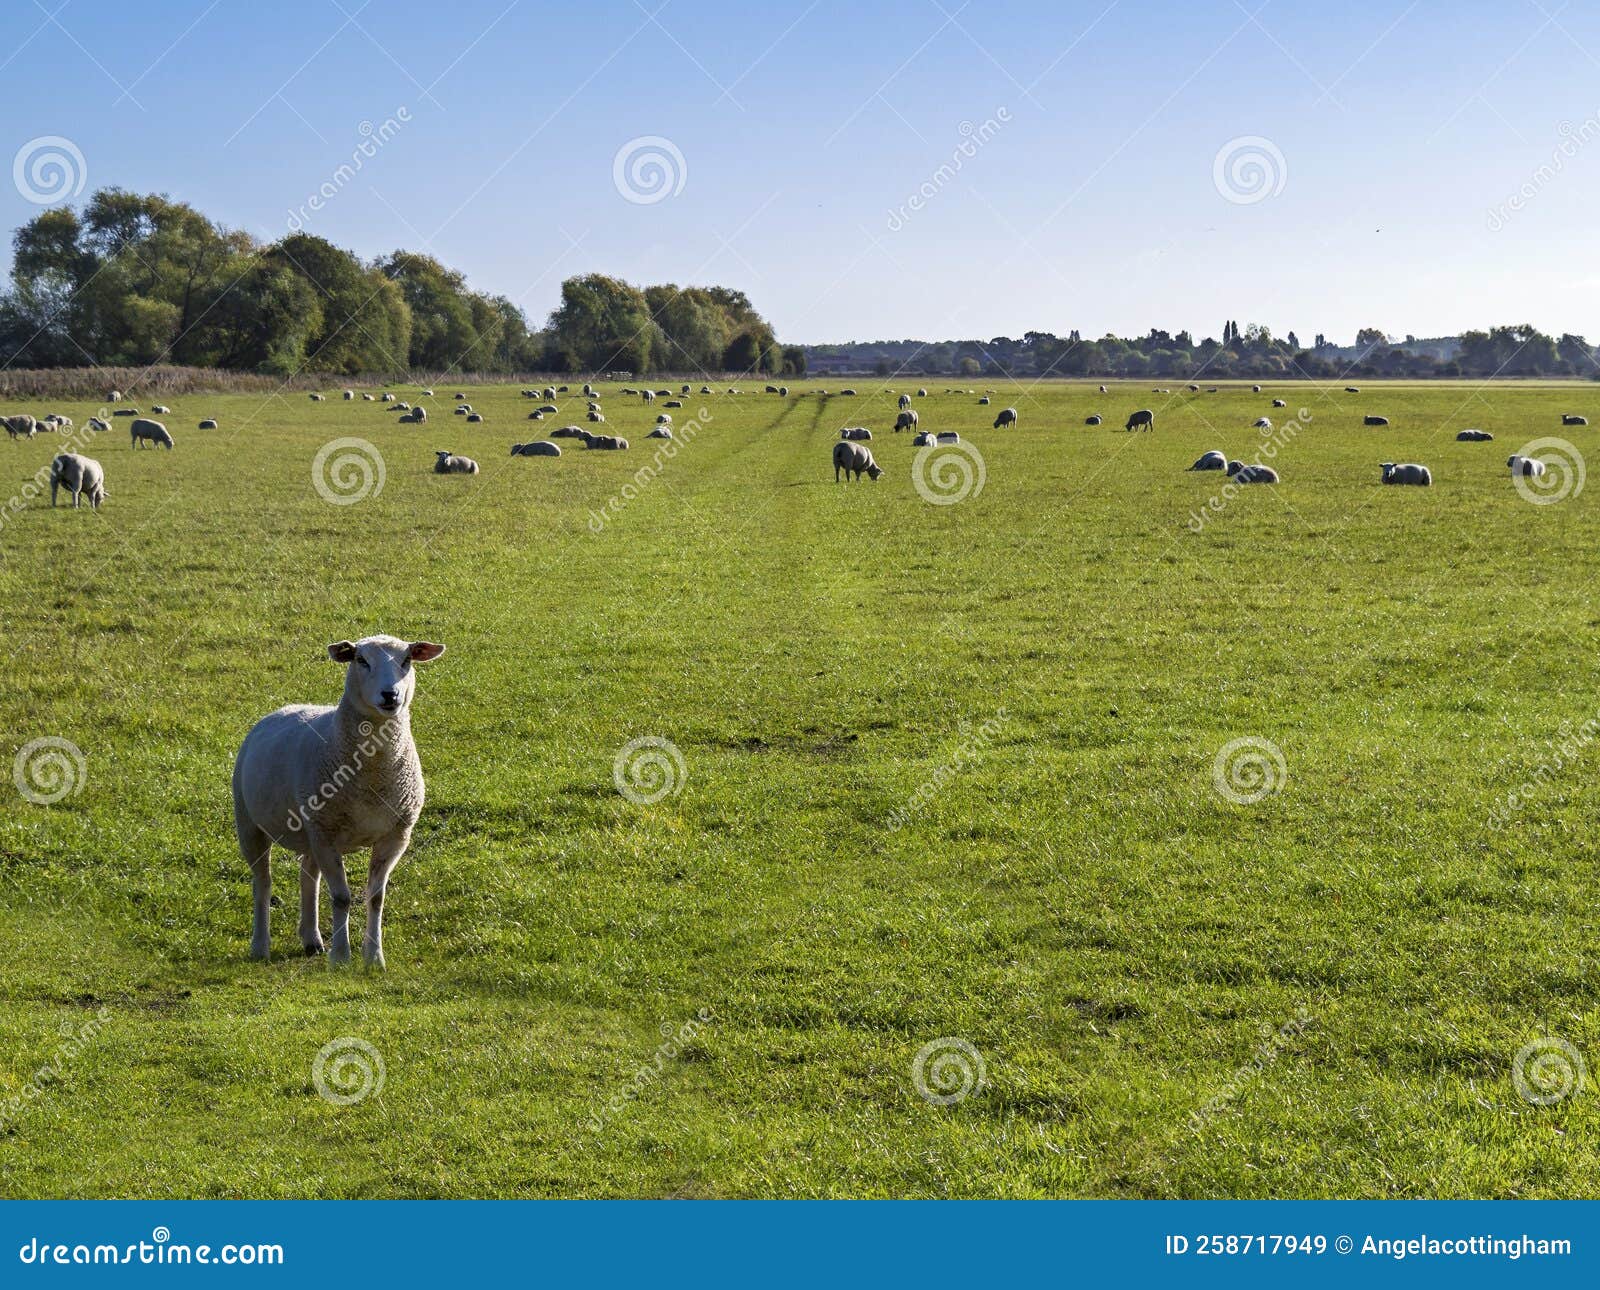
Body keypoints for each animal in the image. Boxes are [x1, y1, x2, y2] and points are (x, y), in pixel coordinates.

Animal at [233, 634, 445, 965]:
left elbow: (376, 897)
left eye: (407, 660)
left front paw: (374, 958)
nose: (390, 695)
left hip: (311, 833)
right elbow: (342, 897)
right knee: (262, 884)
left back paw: (312, 939)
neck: (372, 776)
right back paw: (260, 946)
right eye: (361, 660)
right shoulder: (326, 834)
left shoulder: (396, 835)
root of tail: (285, 708)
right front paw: (341, 957)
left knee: (308, 876)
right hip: (250, 823)